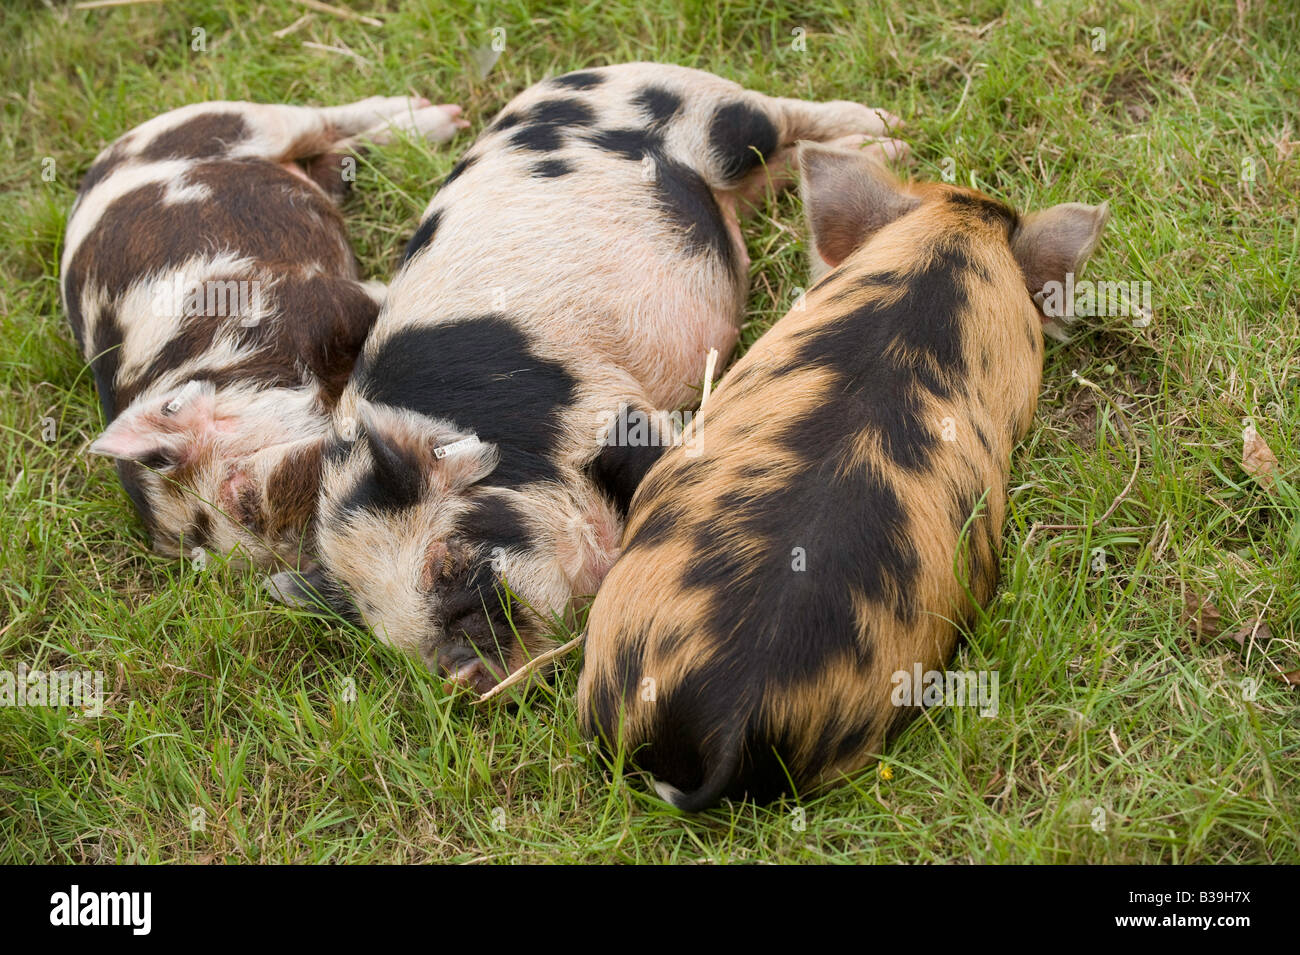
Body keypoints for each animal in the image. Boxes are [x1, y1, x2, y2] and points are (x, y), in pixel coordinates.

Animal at [63, 96, 467, 567]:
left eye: (243, 499)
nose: (305, 558)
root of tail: (110, 155)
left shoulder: (317, 302)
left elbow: (375, 305)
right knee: (335, 157)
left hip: (234, 119)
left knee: (321, 122)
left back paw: (442, 117)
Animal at [269, 63, 907, 692]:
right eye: (390, 639)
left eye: (444, 563)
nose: (459, 673)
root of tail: (580, 75)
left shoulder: (604, 406)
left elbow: (655, 471)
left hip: (711, 112)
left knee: (780, 117)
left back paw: (891, 133)